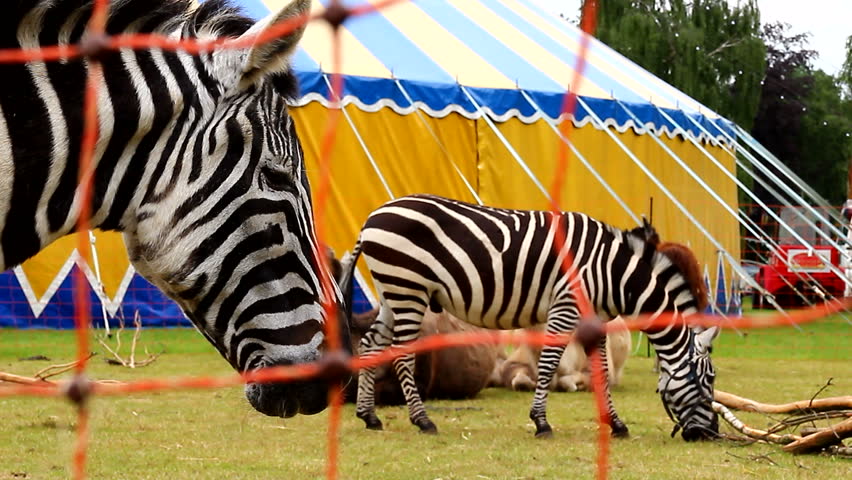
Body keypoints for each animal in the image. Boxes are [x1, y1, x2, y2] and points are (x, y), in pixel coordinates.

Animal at [340, 194, 719, 441]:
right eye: (708, 381)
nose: (712, 435)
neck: (615, 274)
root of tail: (372, 218)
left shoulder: (594, 320)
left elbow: (600, 371)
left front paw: (616, 424)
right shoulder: (566, 306)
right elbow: (549, 364)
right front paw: (541, 422)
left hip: (393, 293)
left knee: (372, 345)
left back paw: (369, 416)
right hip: (408, 289)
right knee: (402, 354)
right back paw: (422, 421)